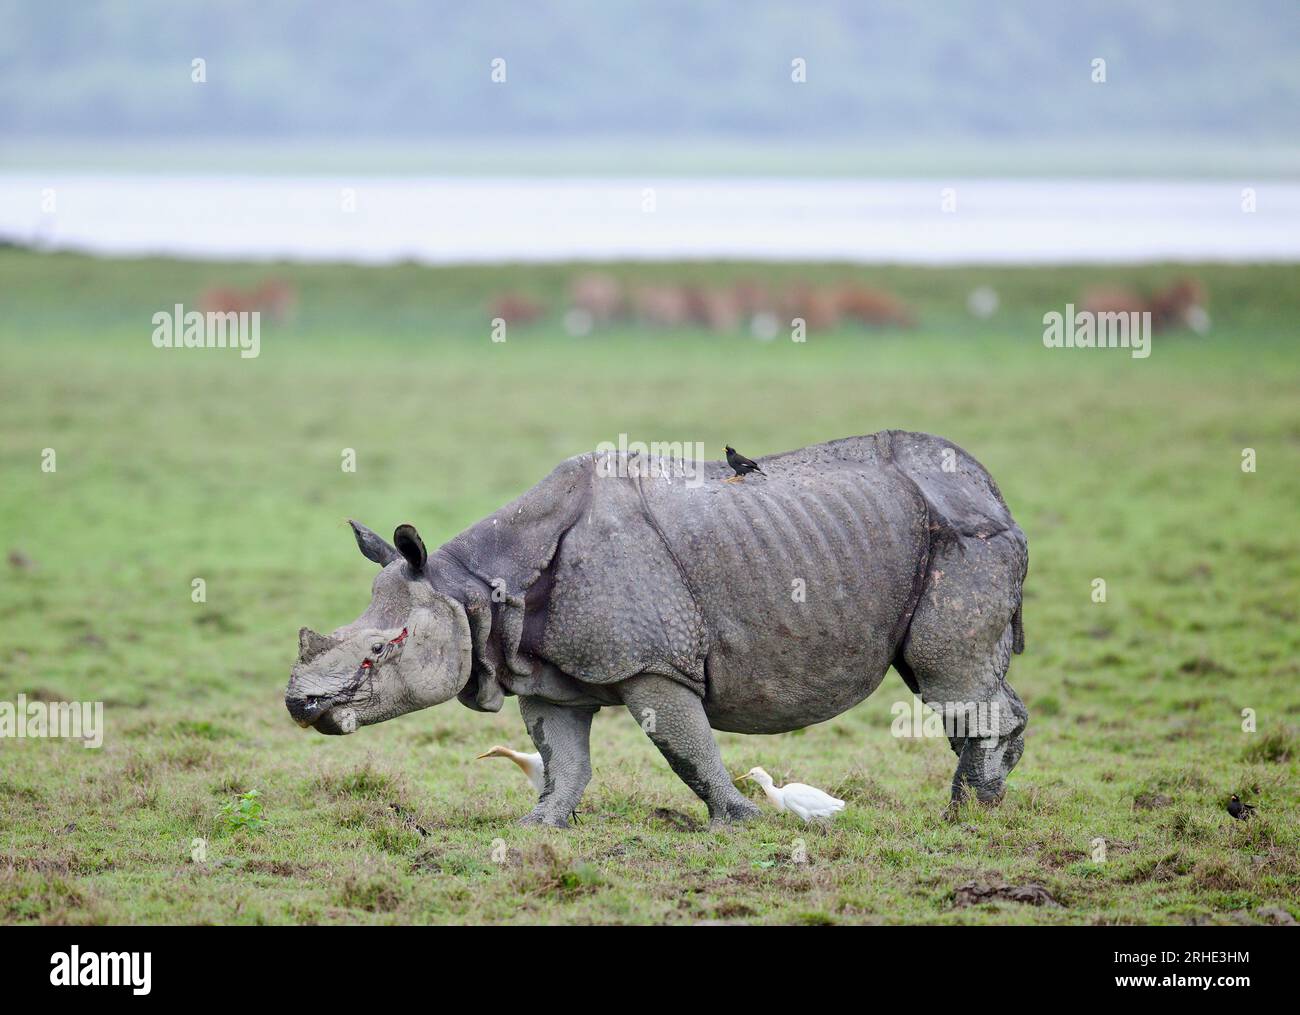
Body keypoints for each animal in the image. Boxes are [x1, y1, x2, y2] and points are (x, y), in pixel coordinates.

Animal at [285, 431, 1029, 827]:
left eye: (382, 649)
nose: (300, 705)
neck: (471, 588)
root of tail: (996, 492)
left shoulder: (652, 662)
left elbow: (686, 745)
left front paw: (741, 821)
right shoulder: (541, 672)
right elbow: (564, 757)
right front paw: (539, 825)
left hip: (964, 538)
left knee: (947, 679)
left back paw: (965, 815)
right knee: (957, 681)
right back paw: (982, 803)